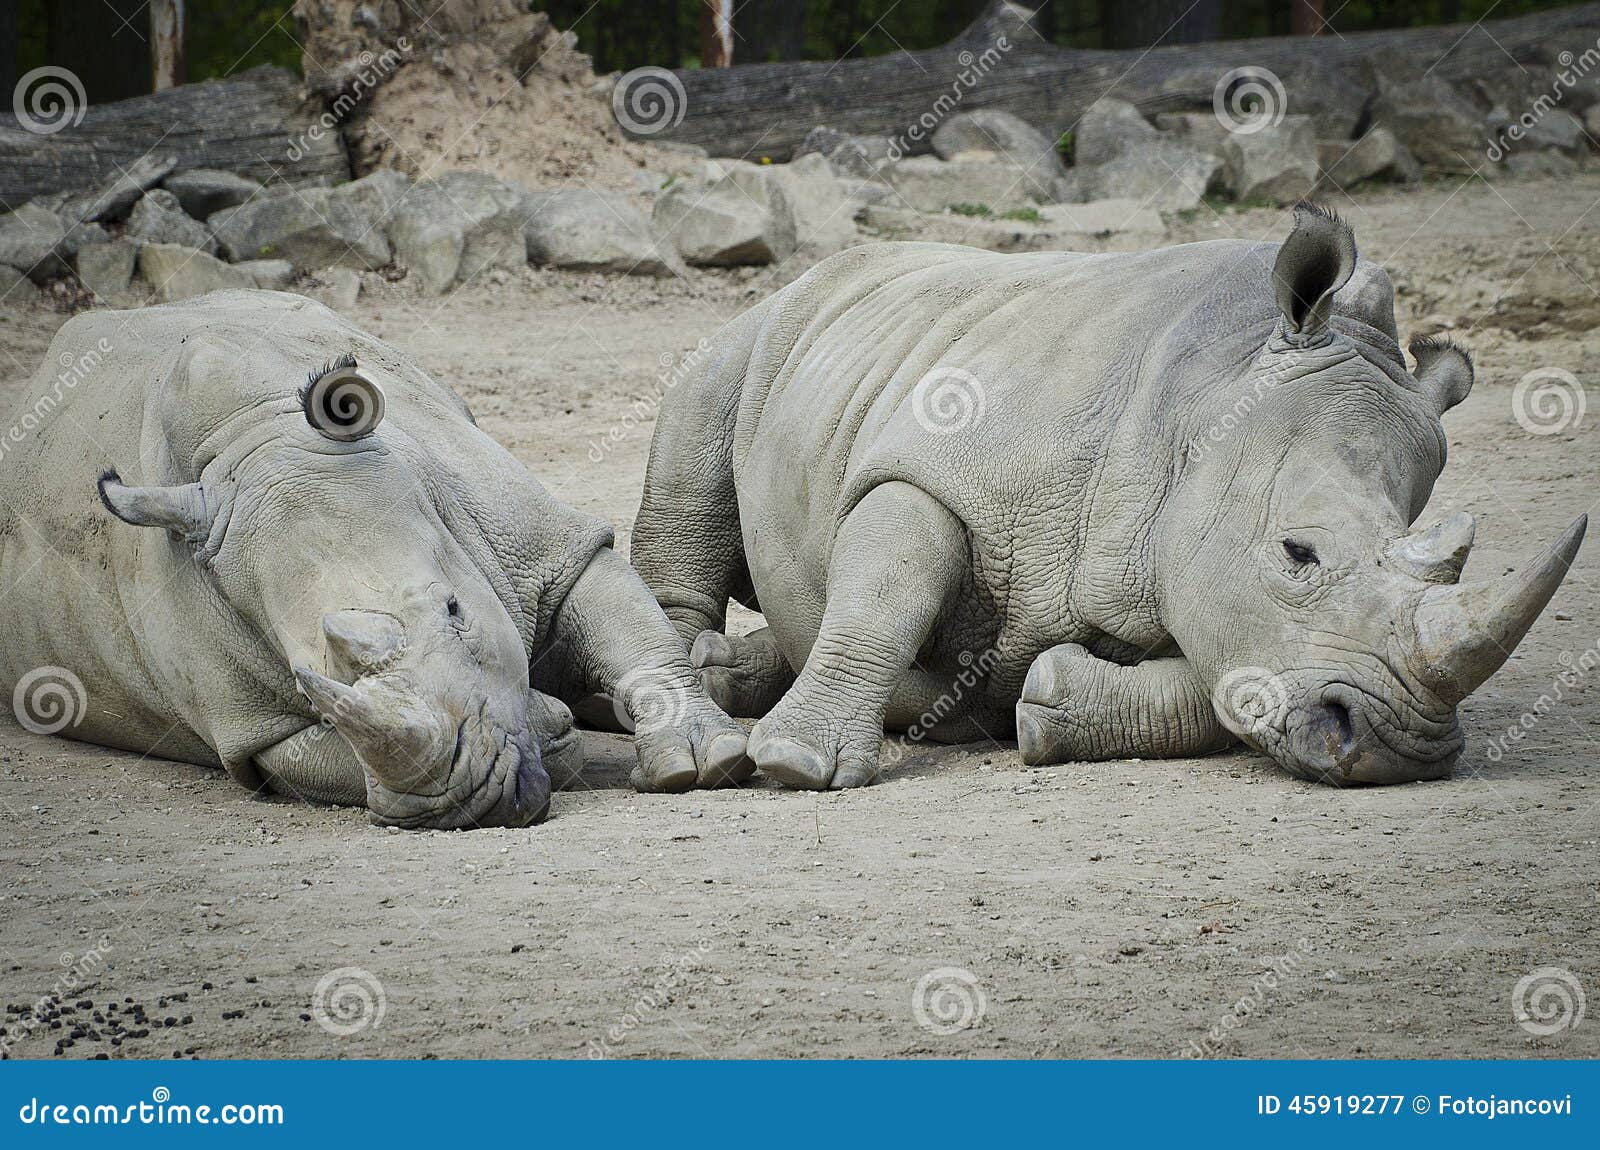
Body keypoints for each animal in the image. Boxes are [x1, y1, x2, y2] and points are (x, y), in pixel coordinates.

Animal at [0, 291, 749, 829]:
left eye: (454, 608)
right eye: (307, 683)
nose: (474, 803)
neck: (256, 435)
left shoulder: (547, 545)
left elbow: (632, 629)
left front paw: (697, 763)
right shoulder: (253, 725)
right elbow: (323, 761)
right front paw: (545, 729)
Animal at [632, 205, 1585, 789]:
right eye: (1297, 553)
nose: (1400, 746)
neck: (1202, 403)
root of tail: (822, 272)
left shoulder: (1202, 577)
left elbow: (1222, 687)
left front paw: (1047, 701)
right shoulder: (936, 468)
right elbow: (883, 592)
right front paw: (799, 764)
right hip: (756, 329)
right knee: (698, 423)